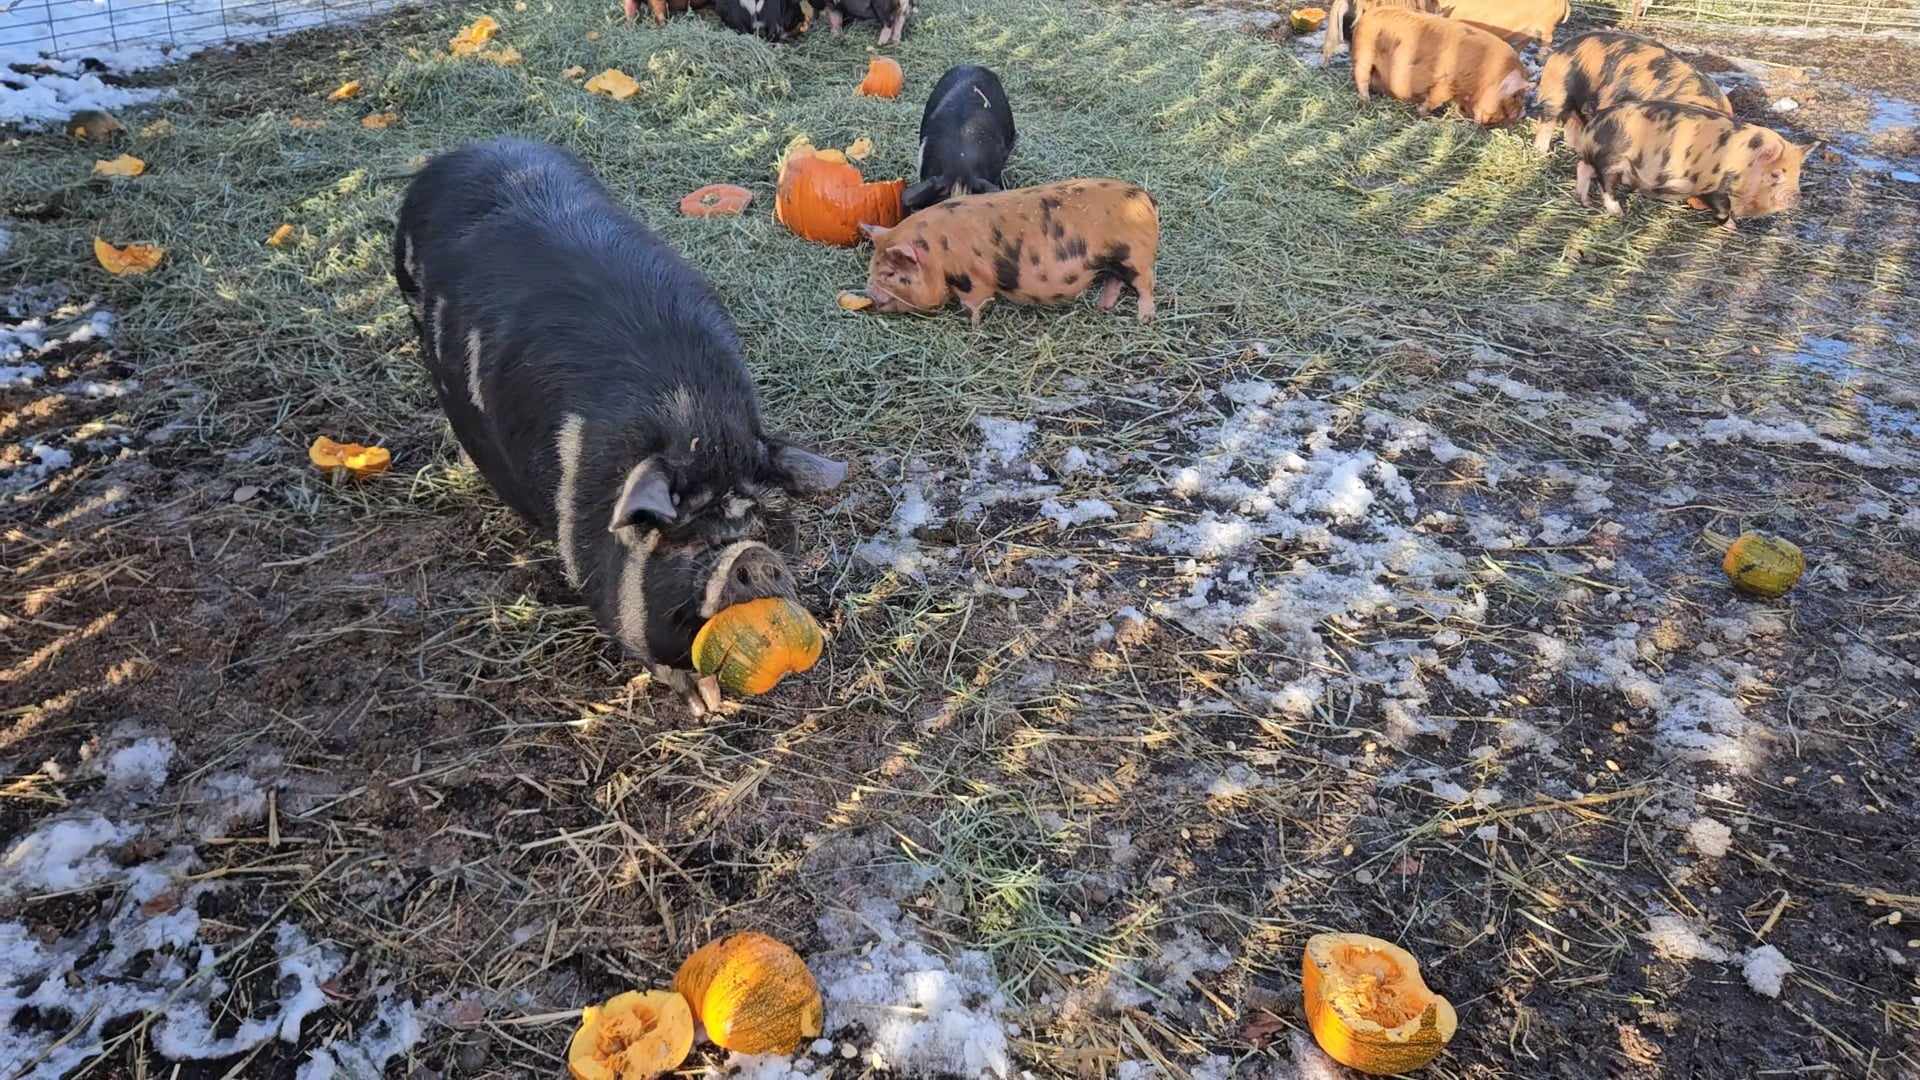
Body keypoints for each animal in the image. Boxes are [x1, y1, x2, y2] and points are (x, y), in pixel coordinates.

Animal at [393, 138, 847, 713]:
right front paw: (704, 706)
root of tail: (462, 152)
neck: (699, 426)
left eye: (765, 522)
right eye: (681, 536)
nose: (755, 557)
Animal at [858, 179, 1159, 325]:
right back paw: (1102, 308)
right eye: (871, 268)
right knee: (1114, 280)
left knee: (1145, 284)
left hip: (1135, 257)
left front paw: (972, 326)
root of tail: (1144, 197)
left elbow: (975, 303)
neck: (938, 253)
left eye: (890, 273)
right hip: (1114, 260)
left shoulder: (975, 279)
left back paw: (1144, 319)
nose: (869, 295)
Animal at [1350, 10, 1530, 127]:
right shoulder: (1446, 83)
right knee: (1361, 77)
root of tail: (1366, 15)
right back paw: (1366, 101)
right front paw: (1423, 114)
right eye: (1516, 96)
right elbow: (1435, 99)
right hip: (1364, 51)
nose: (1522, 114)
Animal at [1568, 101, 1811, 230]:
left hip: (1598, 159)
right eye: (1776, 174)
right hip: (1612, 161)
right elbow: (1723, 207)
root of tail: (1597, 117)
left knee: (1583, 168)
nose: (1797, 198)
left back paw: (1586, 202)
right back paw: (1619, 213)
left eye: (1798, 174)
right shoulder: (1714, 187)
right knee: (1605, 184)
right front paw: (1730, 226)